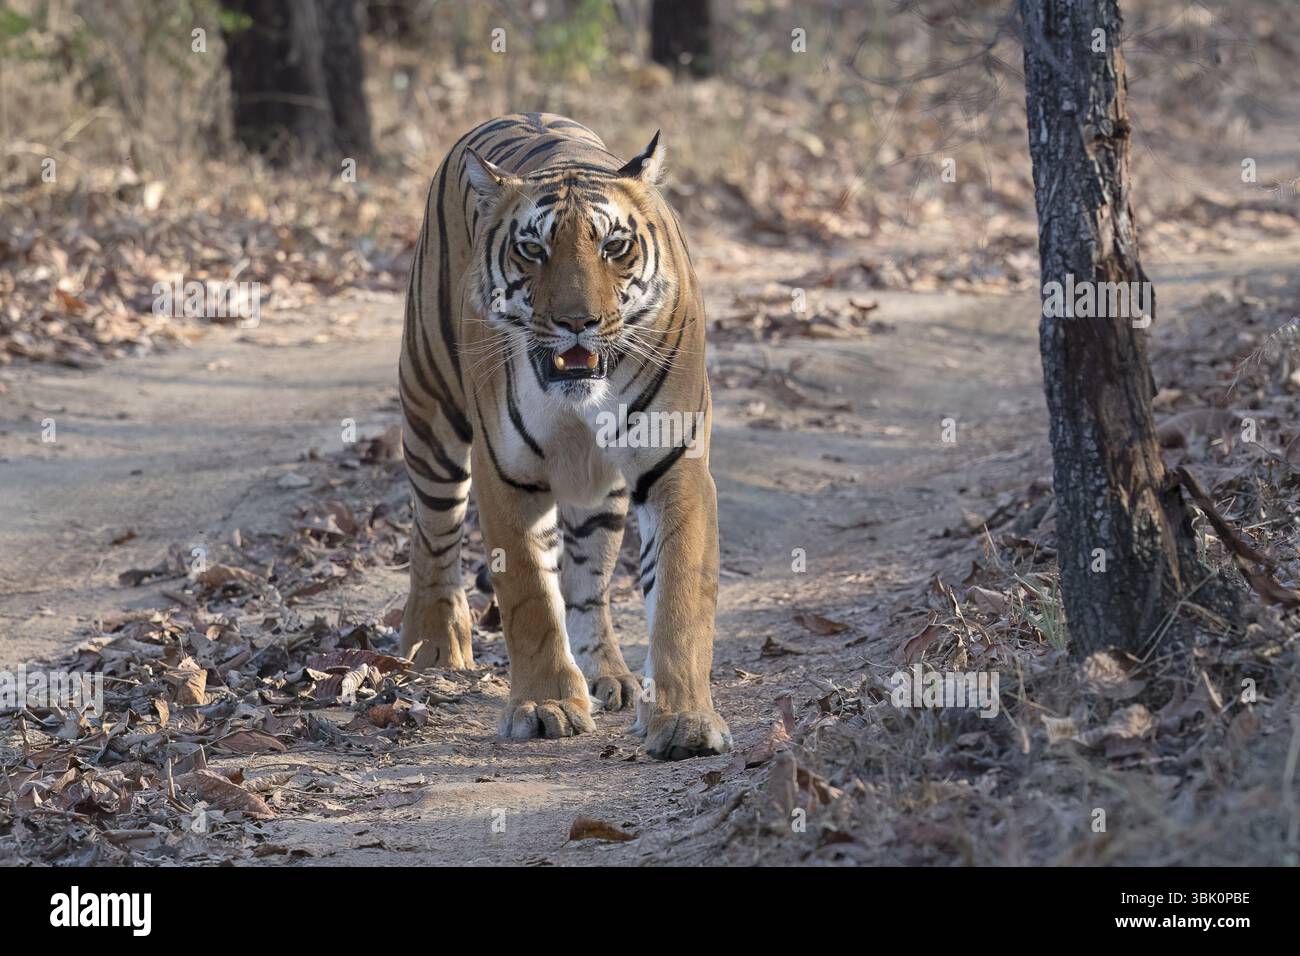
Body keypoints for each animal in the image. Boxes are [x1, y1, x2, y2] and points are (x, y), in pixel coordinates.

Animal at [397, 113, 731, 761]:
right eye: (533, 249)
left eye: (614, 247)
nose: (578, 322)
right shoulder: (506, 474)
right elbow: (529, 595)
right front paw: (545, 706)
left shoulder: (674, 467)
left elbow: (679, 596)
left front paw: (684, 719)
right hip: (431, 410)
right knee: (434, 532)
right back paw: (432, 644)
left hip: (600, 491)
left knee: (586, 579)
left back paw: (609, 676)